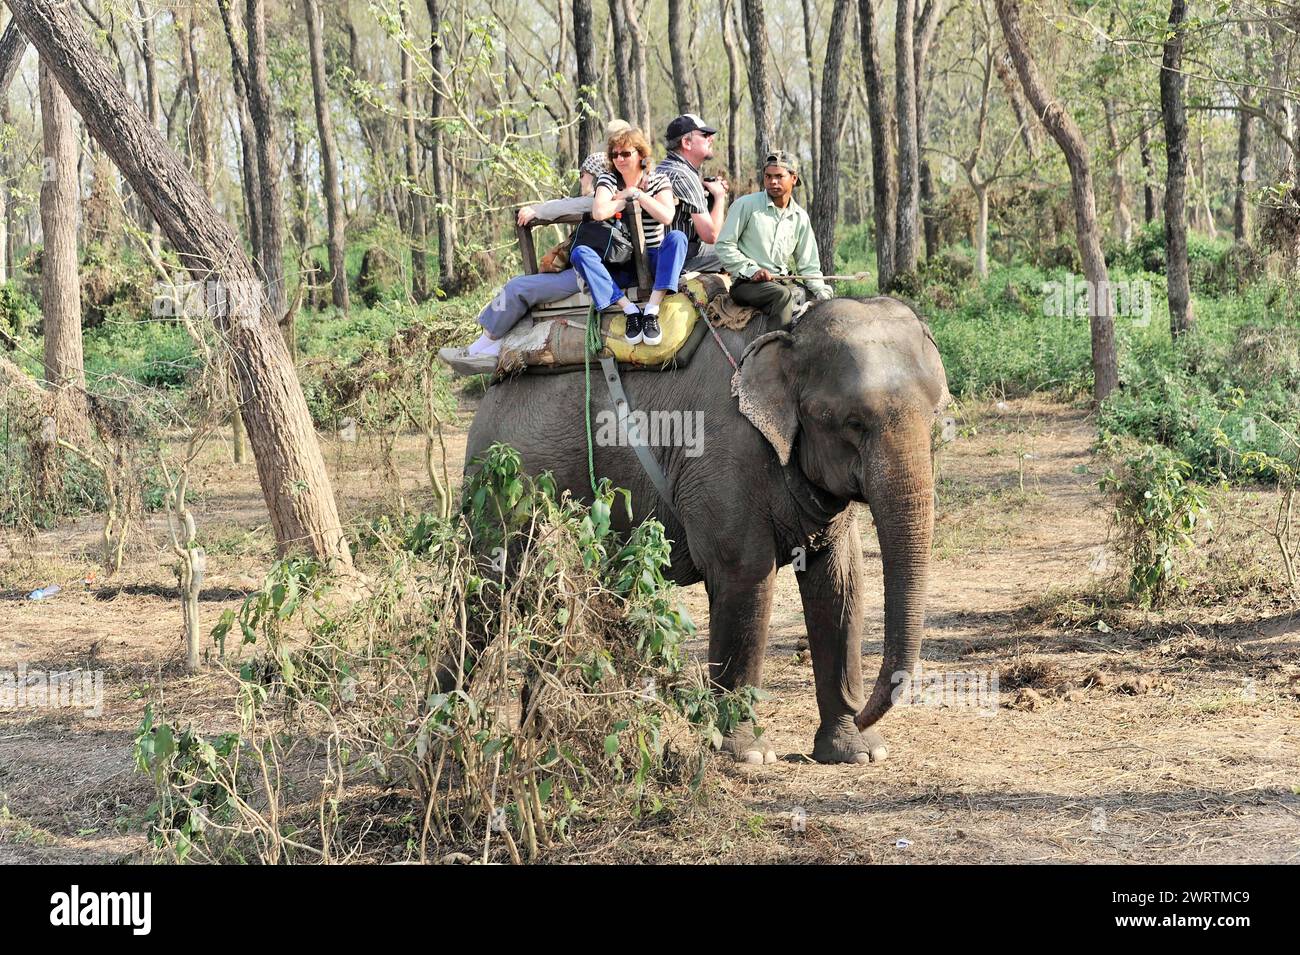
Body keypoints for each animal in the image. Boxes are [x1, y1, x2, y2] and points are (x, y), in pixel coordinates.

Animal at [463, 296, 951, 764]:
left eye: (936, 415)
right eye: (851, 423)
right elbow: (745, 576)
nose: (866, 712)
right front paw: (748, 754)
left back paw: (544, 736)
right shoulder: (720, 455)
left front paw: (859, 752)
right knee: (487, 595)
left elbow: (840, 584)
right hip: (501, 485)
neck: (789, 332)